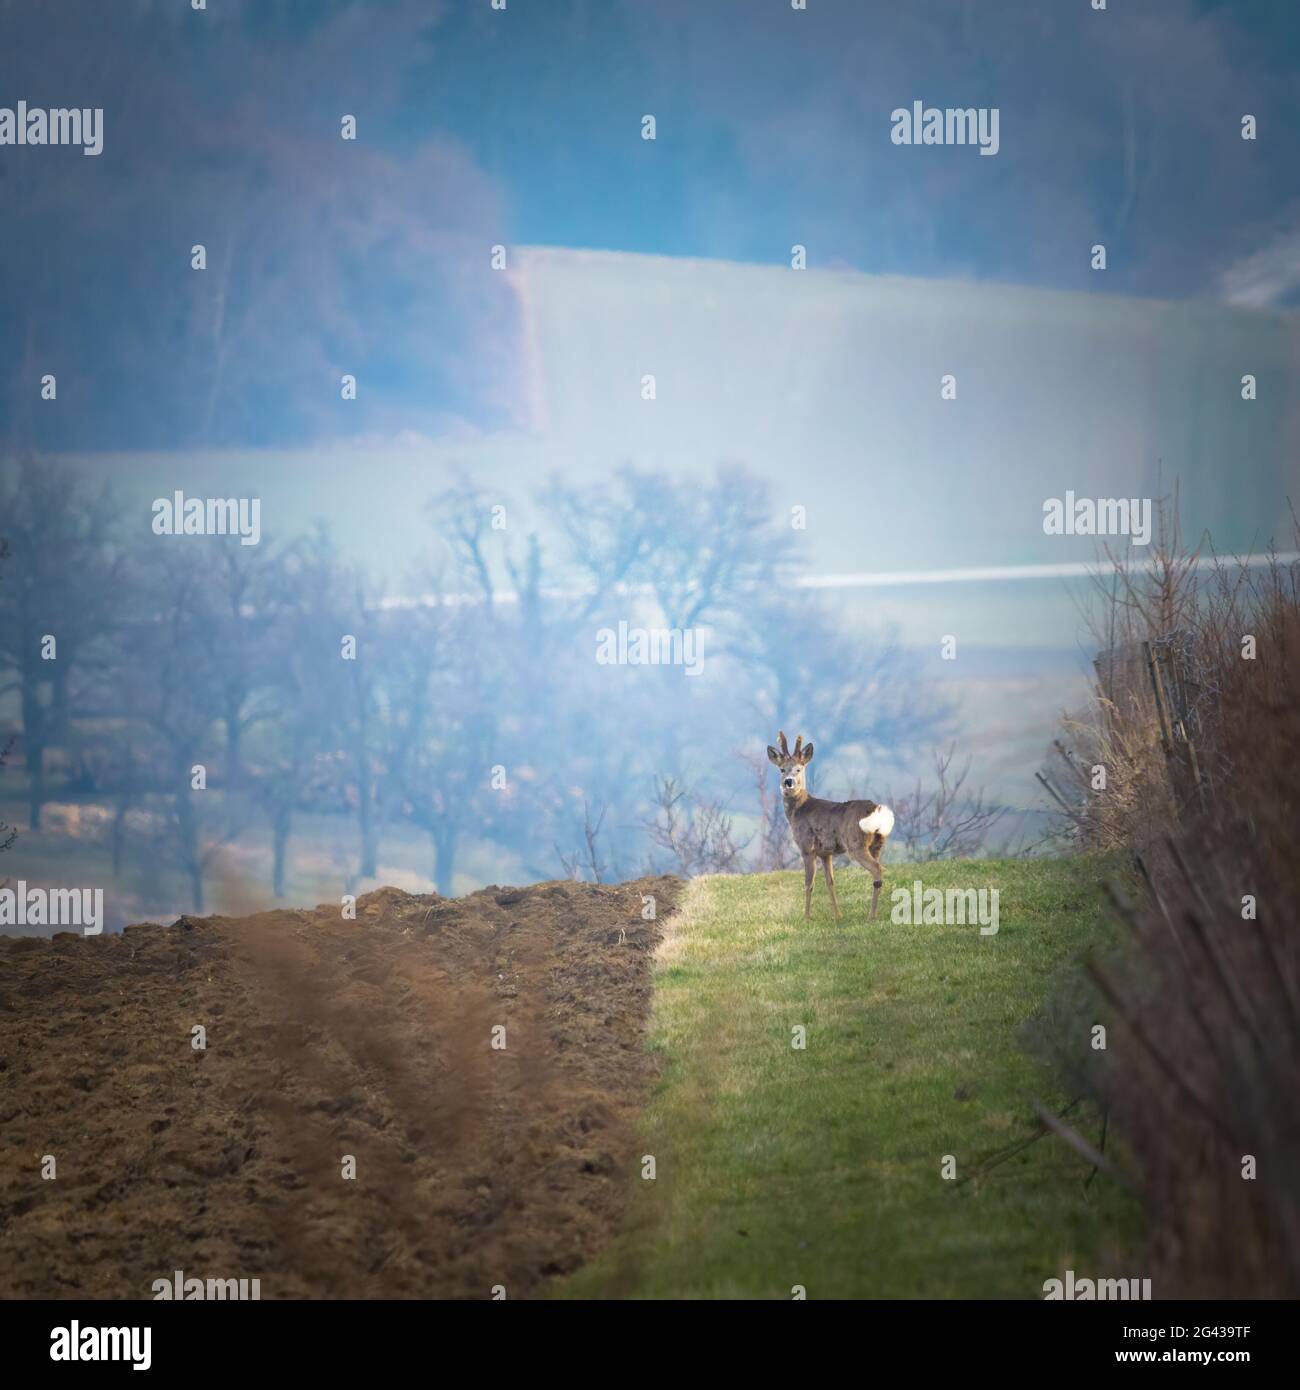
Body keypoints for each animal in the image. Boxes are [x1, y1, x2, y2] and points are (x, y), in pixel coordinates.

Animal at [766, 731, 895, 922]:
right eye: (782, 769)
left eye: (798, 769)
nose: (788, 782)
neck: (798, 810)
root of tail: (877, 811)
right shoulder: (825, 853)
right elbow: (830, 882)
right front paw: (838, 915)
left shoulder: (807, 847)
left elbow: (809, 883)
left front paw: (806, 917)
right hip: (878, 843)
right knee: (879, 868)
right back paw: (875, 914)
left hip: (856, 843)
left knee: (877, 869)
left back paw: (871, 916)